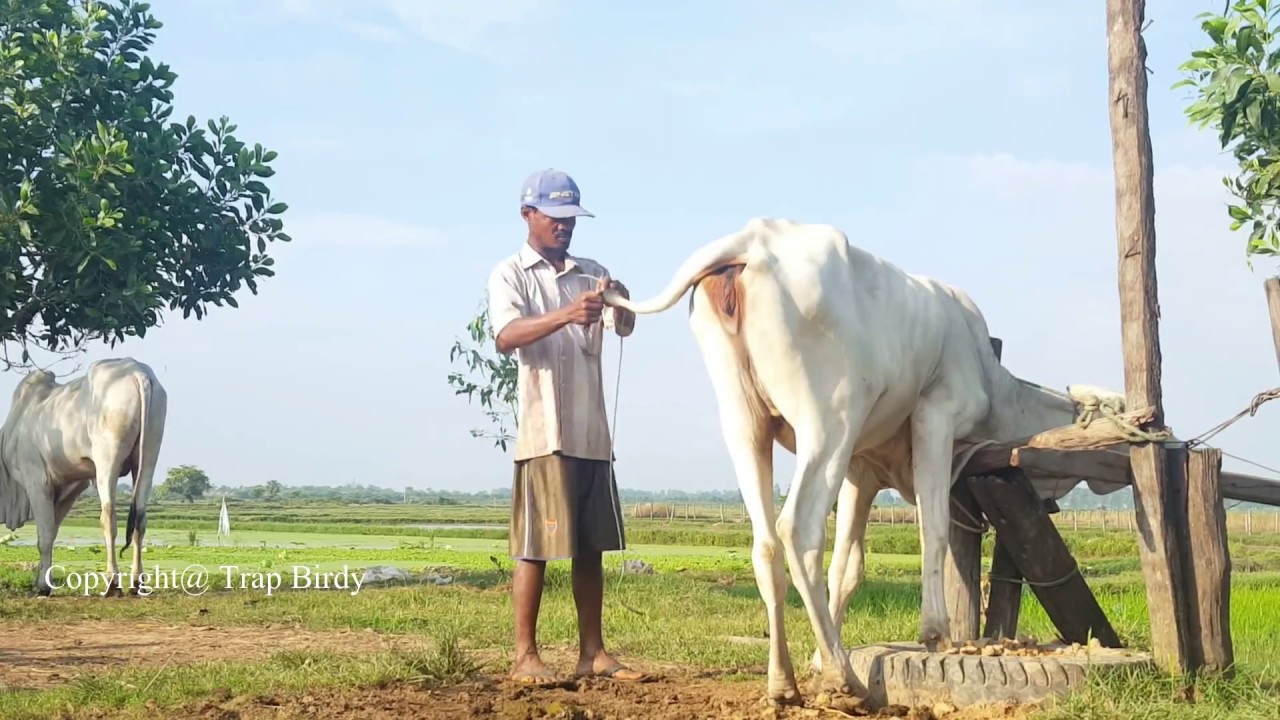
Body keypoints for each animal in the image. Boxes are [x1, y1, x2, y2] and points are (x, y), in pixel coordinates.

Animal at [0, 358, 167, 597]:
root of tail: (137, 371)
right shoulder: (68, 486)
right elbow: (52, 532)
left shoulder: (37, 481)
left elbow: (45, 535)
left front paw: (42, 586)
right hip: (148, 459)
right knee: (140, 519)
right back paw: (137, 583)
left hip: (107, 461)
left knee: (109, 517)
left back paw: (112, 583)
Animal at [600, 218, 1127, 703]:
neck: (996, 385)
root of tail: (754, 238)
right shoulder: (937, 418)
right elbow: (933, 531)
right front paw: (934, 632)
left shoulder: (861, 469)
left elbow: (847, 566)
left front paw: (818, 657)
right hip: (829, 418)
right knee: (799, 530)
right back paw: (843, 679)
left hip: (745, 422)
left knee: (766, 543)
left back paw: (784, 682)